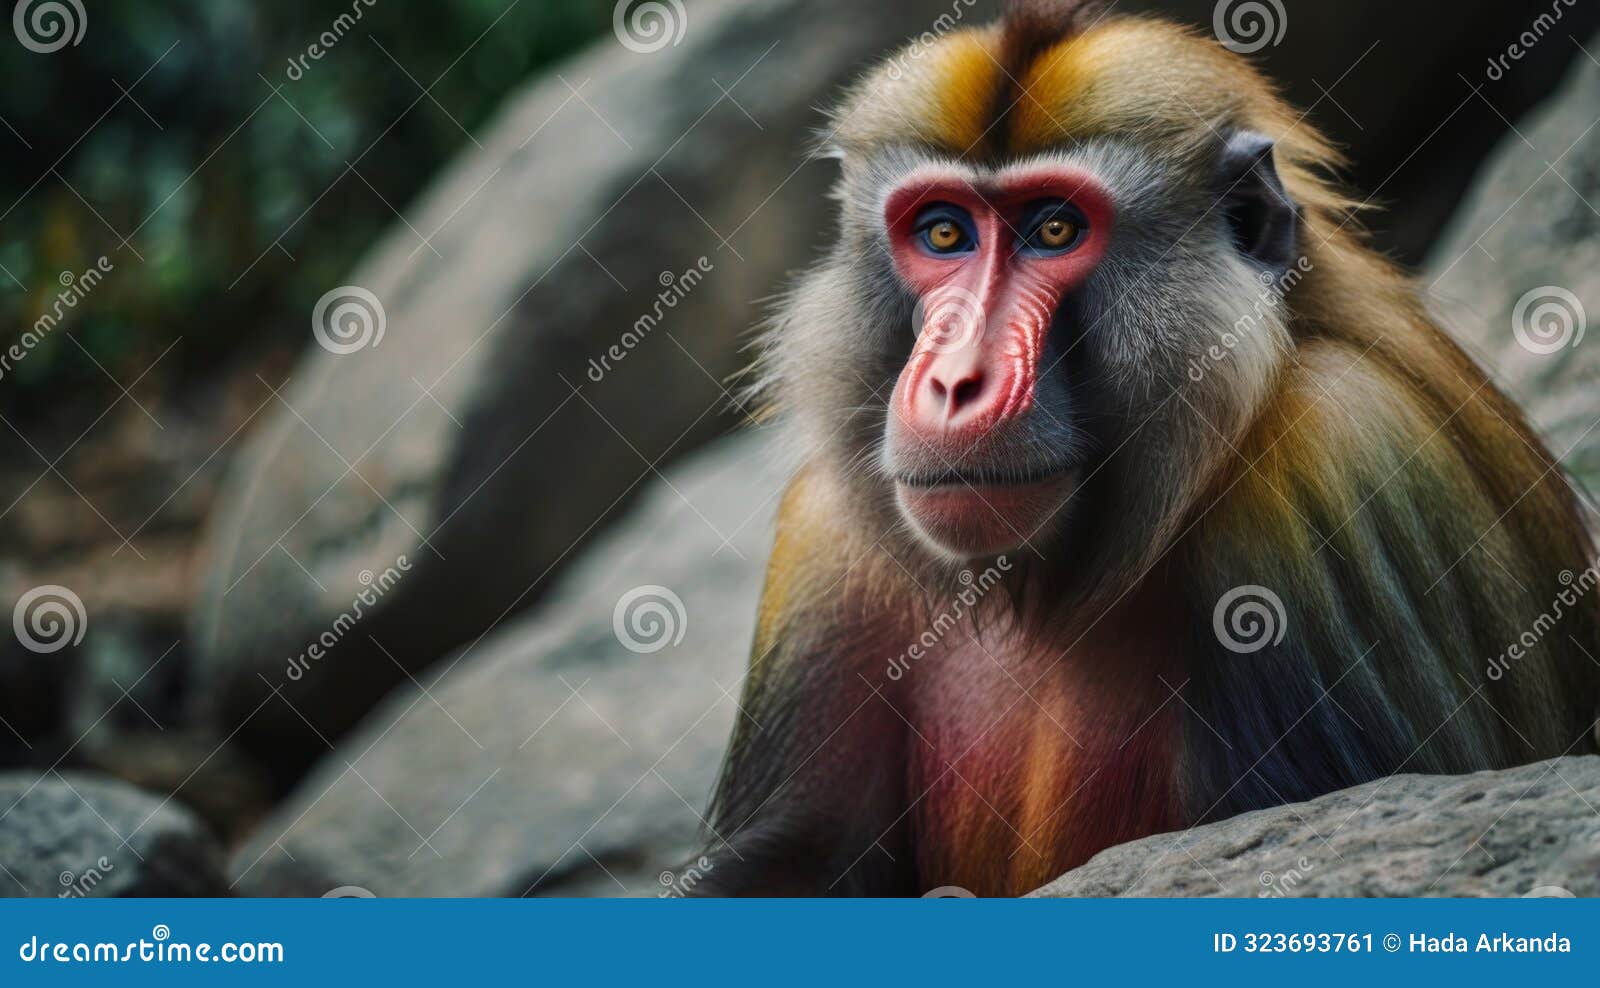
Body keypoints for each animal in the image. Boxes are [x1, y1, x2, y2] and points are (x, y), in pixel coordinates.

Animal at [690, 0, 1600, 897]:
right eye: (945, 234)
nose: (954, 381)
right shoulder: (827, 529)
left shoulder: (1332, 464)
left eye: (1056, 228)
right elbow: (793, 856)